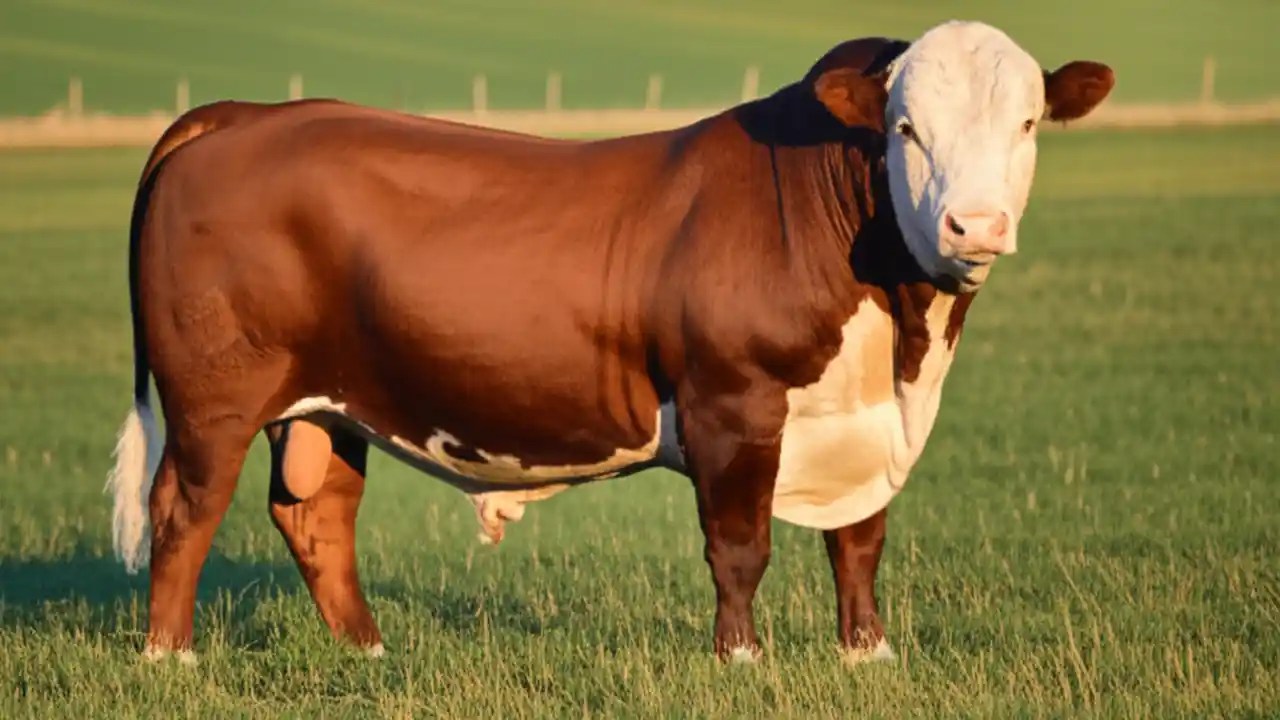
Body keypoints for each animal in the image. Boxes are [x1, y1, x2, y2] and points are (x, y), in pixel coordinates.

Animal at [105, 20, 1113, 664]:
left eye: (1027, 122)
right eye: (906, 126)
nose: (974, 225)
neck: (901, 346)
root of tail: (241, 113)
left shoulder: (860, 426)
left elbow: (858, 540)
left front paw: (868, 655)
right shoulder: (731, 403)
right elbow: (740, 545)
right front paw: (740, 660)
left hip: (332, 401)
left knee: (317, 516)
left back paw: (370, 654)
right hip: (214, 398)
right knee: (183, 510)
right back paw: (169, 659)